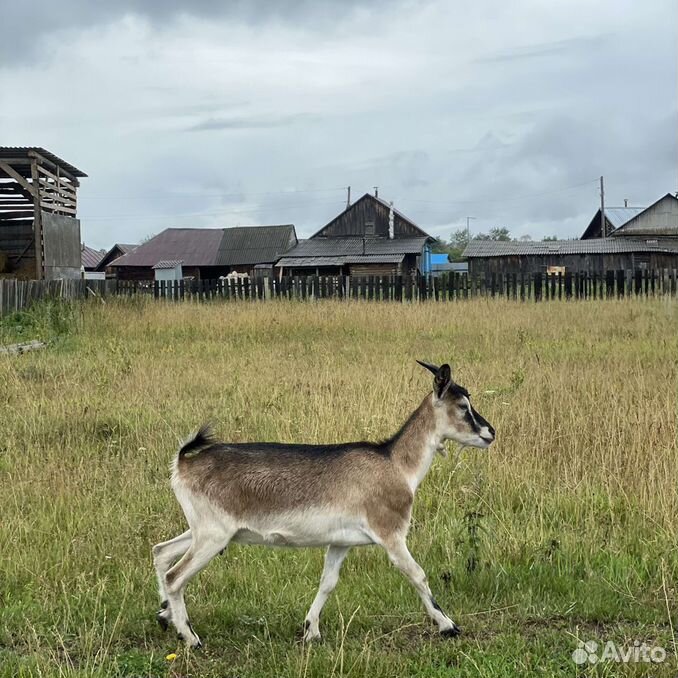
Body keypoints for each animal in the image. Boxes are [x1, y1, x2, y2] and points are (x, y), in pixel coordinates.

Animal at [153, 362, 494, 648]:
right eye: (463, 406)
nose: (490, 432)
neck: (396, 465)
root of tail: (183, 464)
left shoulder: (340, 542)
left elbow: (328, 582)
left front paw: (311, 631)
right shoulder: (391, 533)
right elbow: (417, 574)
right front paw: (448, 625)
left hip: (203, 531)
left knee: (160, 552)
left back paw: (164, 615)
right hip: (213, 535)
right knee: (175, 576)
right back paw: (191, 638)